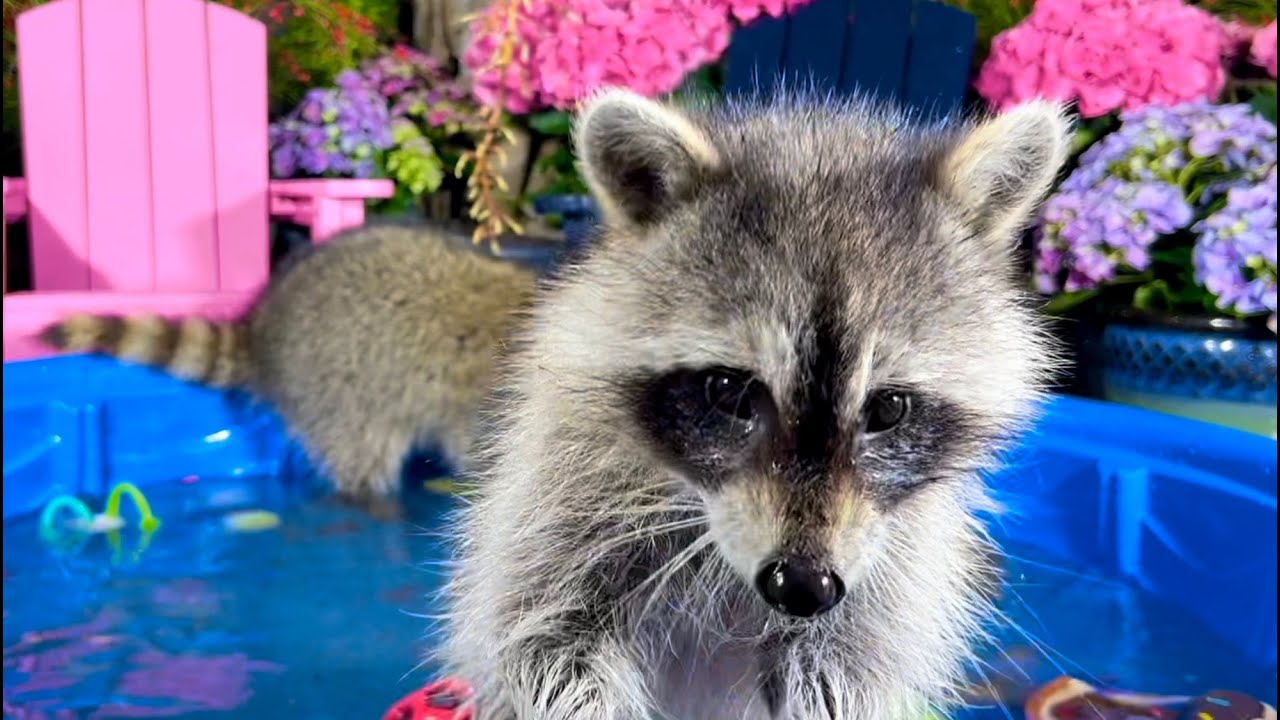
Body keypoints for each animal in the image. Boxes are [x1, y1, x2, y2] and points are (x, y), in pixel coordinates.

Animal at [440, 88, 1071, 720]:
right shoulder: (565, 489)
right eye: (729, 392)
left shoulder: (892, 561)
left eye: (889, 409)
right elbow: (543, 641)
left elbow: (848, 662)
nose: (803, 587)